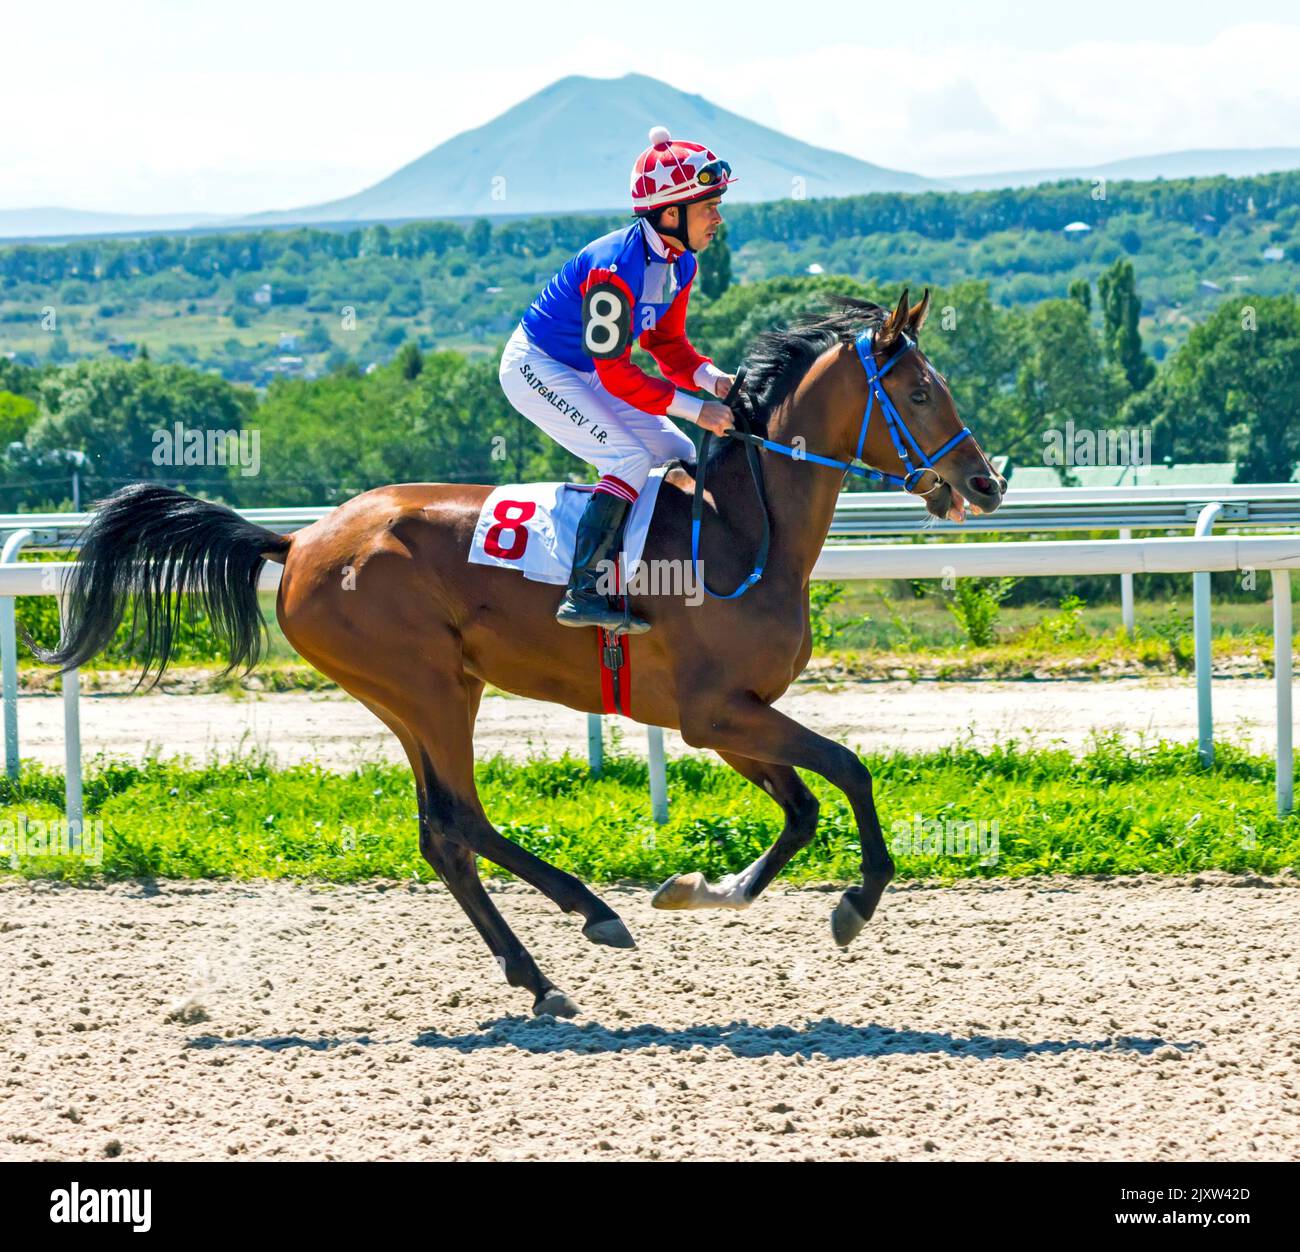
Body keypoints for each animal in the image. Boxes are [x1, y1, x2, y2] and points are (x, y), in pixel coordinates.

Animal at [32, 288, 1005, 1018]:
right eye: (920, 392)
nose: (986, 482)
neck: (740, 530)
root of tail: (300, 541)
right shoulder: (715, 713)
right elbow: (849, 771)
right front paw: (856, 903)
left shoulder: (727, 718)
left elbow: (802, 808)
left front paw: (701, 887)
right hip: (427, 687)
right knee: (460, 820)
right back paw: (590, 916)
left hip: (415, 695)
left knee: (442, 832)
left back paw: (542, 973)